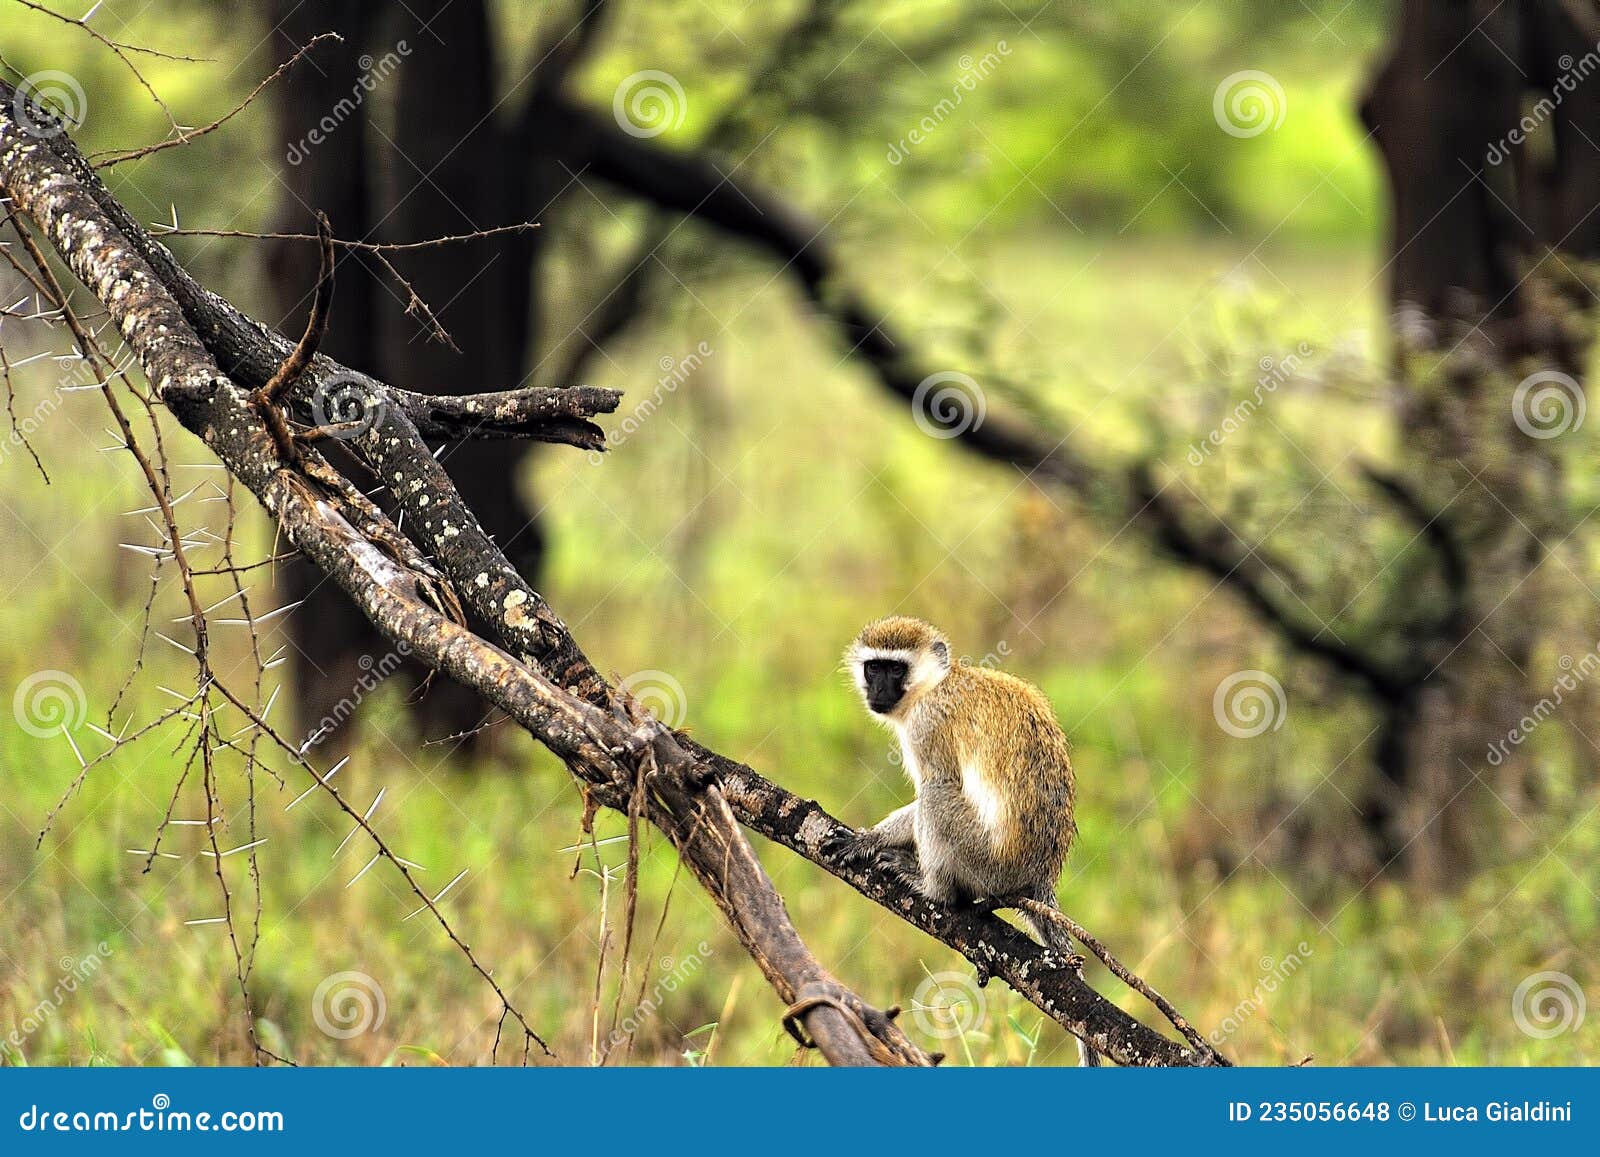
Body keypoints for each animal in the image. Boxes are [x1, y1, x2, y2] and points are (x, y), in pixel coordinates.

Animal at [835, 615, 1102, 1065]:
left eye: (895, 669)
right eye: (874, 668)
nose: (878, 691)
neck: (936, 684)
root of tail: (1040, 873)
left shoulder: (927, 726)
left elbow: (940, 782)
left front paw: (869, 840)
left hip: (984, 861)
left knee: (936, 798)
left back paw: (931, 886)